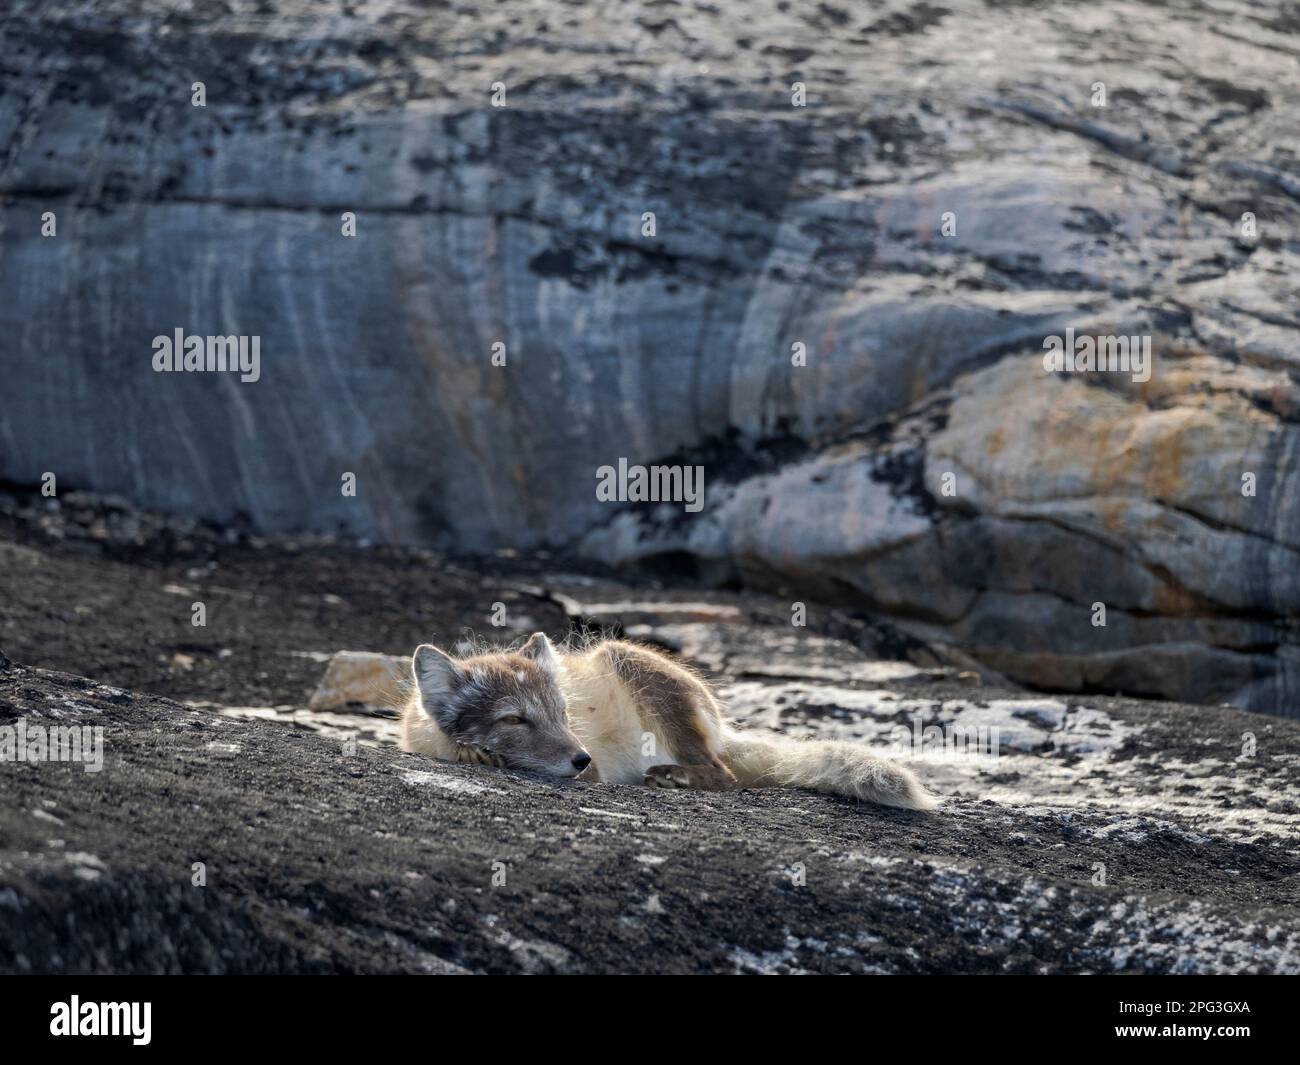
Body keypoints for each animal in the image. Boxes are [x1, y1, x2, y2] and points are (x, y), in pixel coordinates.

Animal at [399, 632, 939, 811]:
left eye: (562, 714)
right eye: (515, 719)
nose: (581, 759)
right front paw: (472, 750)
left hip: (629, 662)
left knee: (723, 775)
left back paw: (675, 776)